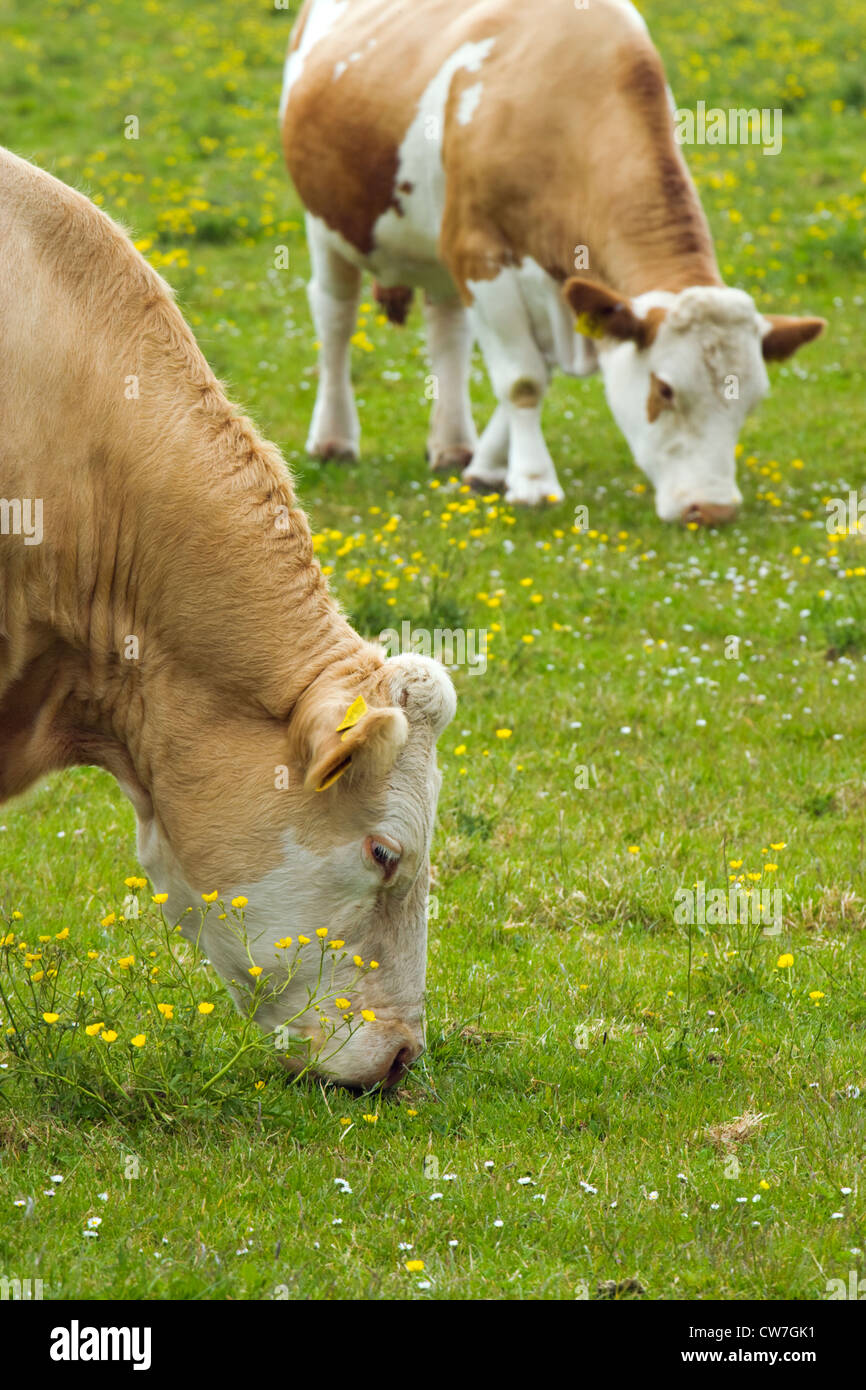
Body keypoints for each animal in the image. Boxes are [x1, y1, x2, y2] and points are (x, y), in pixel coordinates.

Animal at [281, 0, 825, 521]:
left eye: (752, 400)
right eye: (666, 389)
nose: (712, 510)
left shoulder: (564, 287)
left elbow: (532, 369)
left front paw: (487, 468)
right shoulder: (480, 253)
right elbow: (522, 379)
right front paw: (533, 484)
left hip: (435, 252)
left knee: (448, 333)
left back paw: (453, 444)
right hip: (324, 223)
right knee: (335, 319)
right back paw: (333, 438)